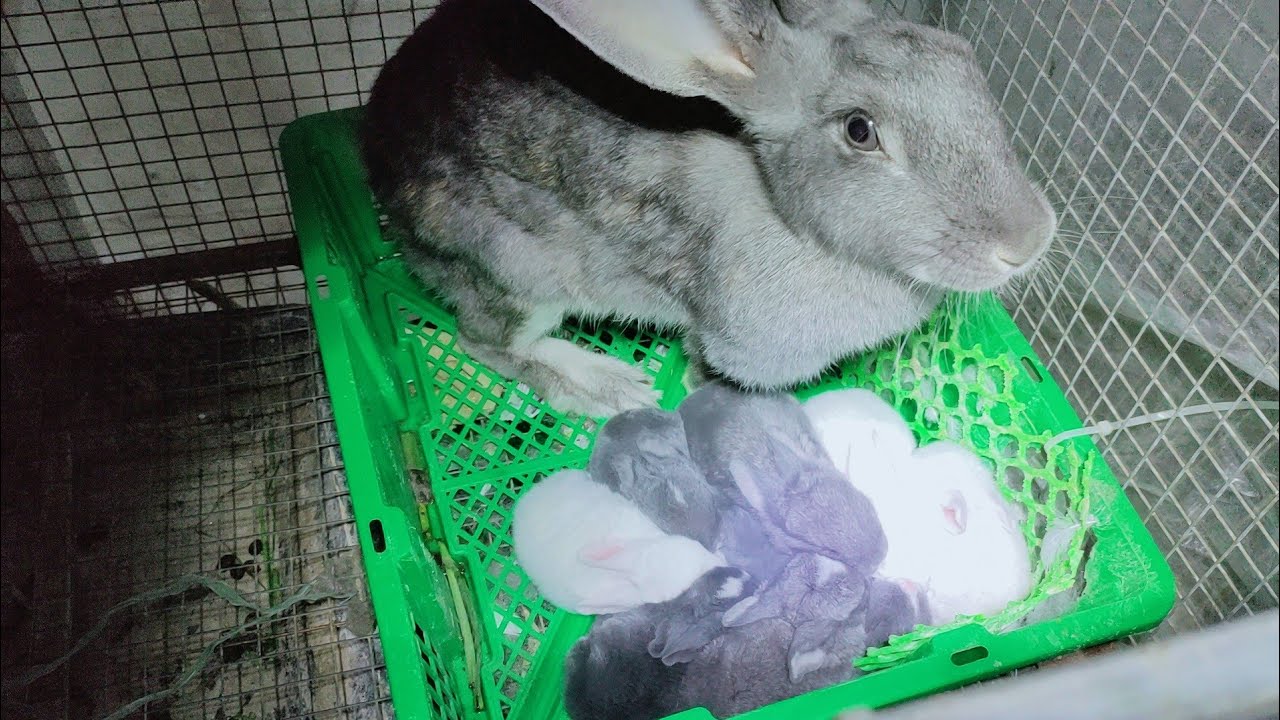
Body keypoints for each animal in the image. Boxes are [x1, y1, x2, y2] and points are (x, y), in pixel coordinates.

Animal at [361, 0, 1058, 417]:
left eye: (965, 60)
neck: (788, 216)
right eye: (860, 131)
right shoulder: (734, 344)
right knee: (486, 342)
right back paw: (606, 387)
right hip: (517, 273)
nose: (1029, 243)